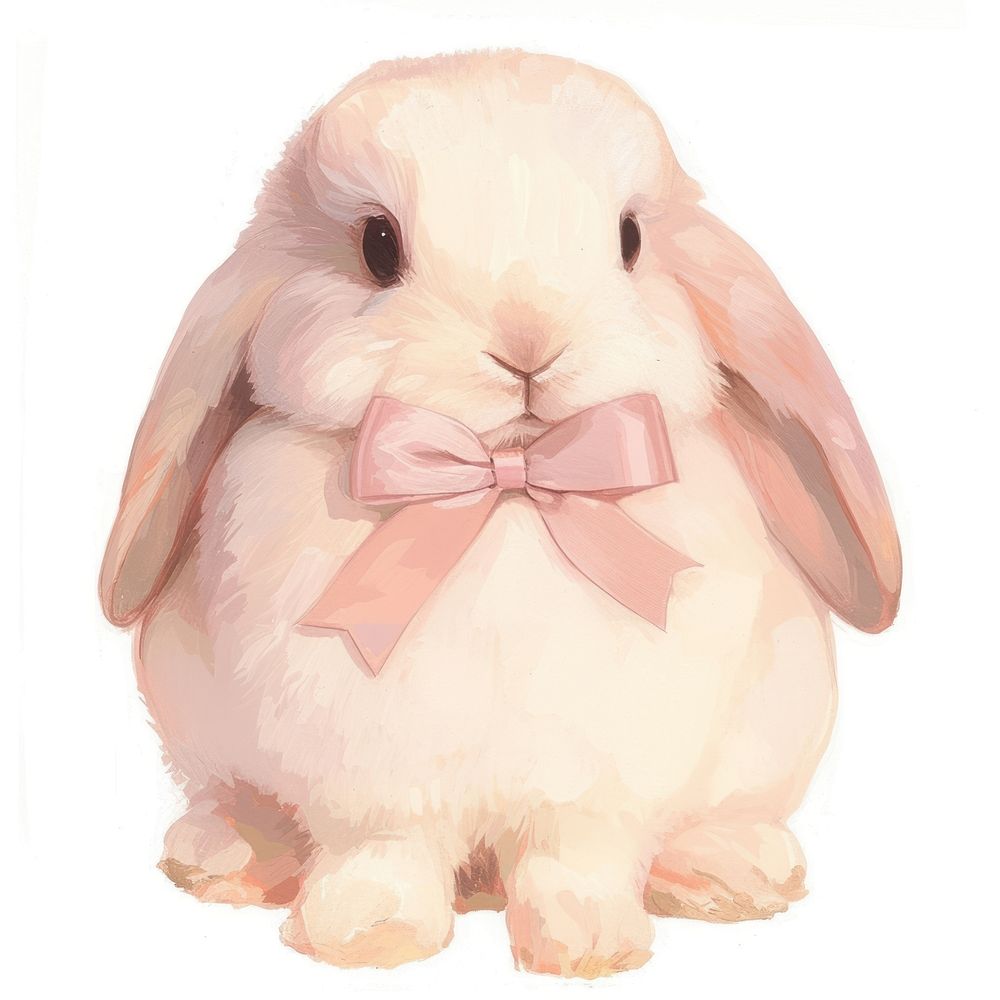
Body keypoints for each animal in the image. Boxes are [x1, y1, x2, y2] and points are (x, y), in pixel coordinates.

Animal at [100, 50, 900, 978]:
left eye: (629, 240)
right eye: (378, 247)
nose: (527, 343)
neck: (507, 489)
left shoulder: (598, 783)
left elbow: (575, 859)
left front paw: (588, 946)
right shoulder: (370, 778)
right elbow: (384, 850)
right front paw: (367, 936)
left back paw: (728, 872)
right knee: (237, 802)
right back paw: (226, 858)